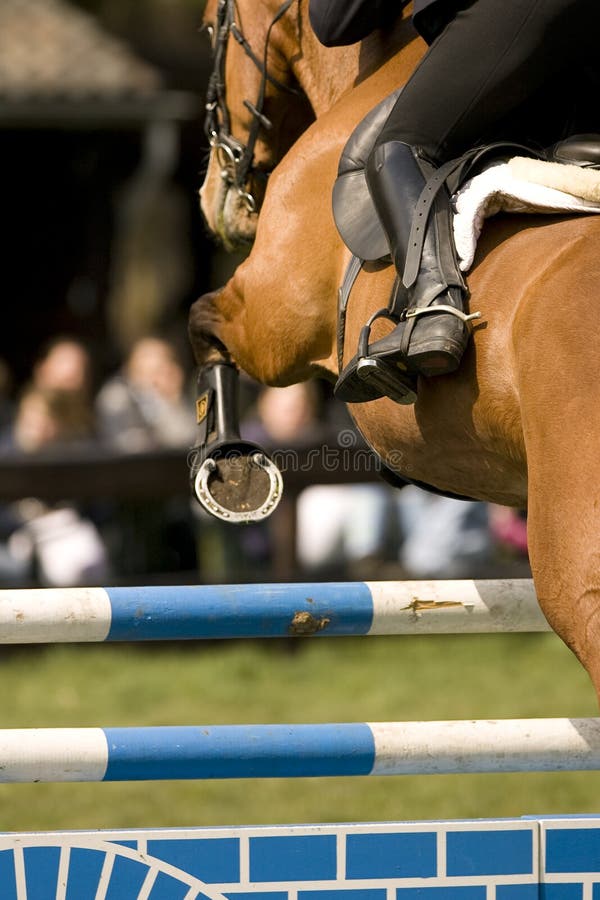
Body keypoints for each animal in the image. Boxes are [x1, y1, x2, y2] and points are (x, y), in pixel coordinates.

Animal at [190, 0, 600, 700]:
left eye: (211, 25)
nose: (214, 198)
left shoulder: (269, 319)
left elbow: (203, 324)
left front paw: (230, 467)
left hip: (575, 567)